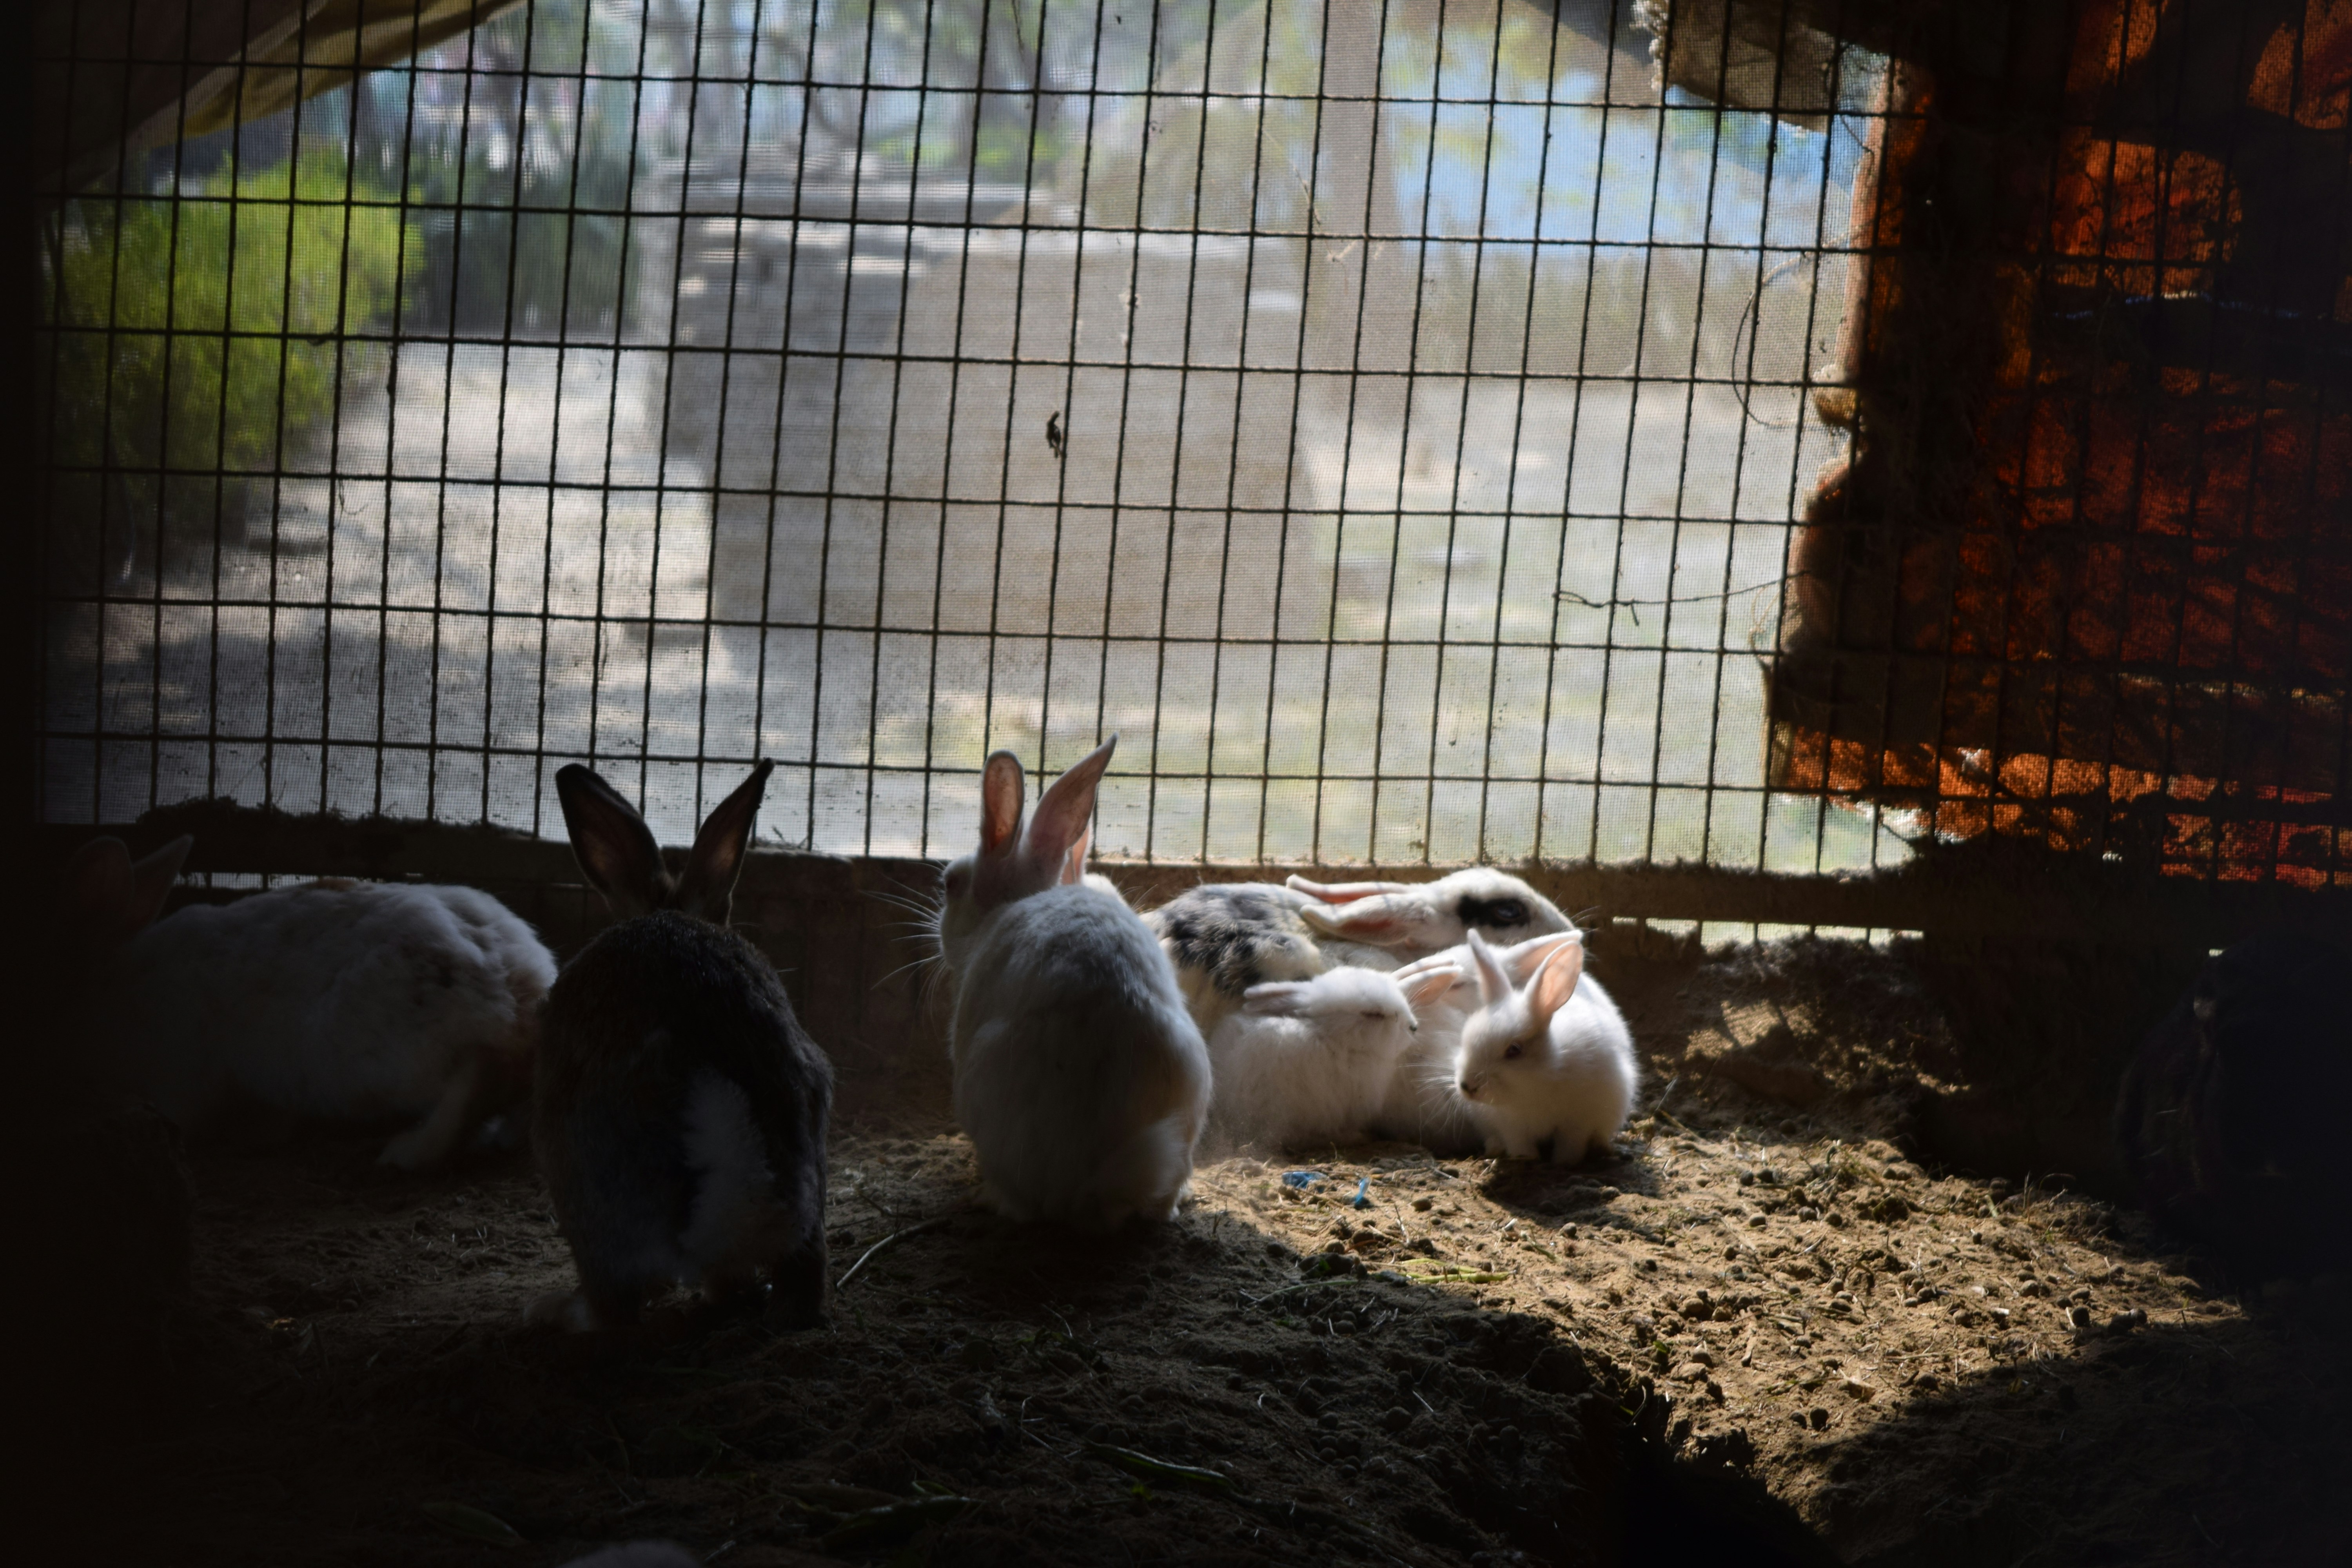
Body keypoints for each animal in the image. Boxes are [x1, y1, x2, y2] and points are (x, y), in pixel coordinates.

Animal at [1449, 930, 1637, 1164]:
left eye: (1514, 1050)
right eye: (1465, 1038)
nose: (1468, 1087)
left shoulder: (1578, 1121)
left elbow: (1571, 1144)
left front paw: (1564, 1163)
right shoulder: (1510, 1125)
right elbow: (1519, 1143)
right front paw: (1526, 1158)